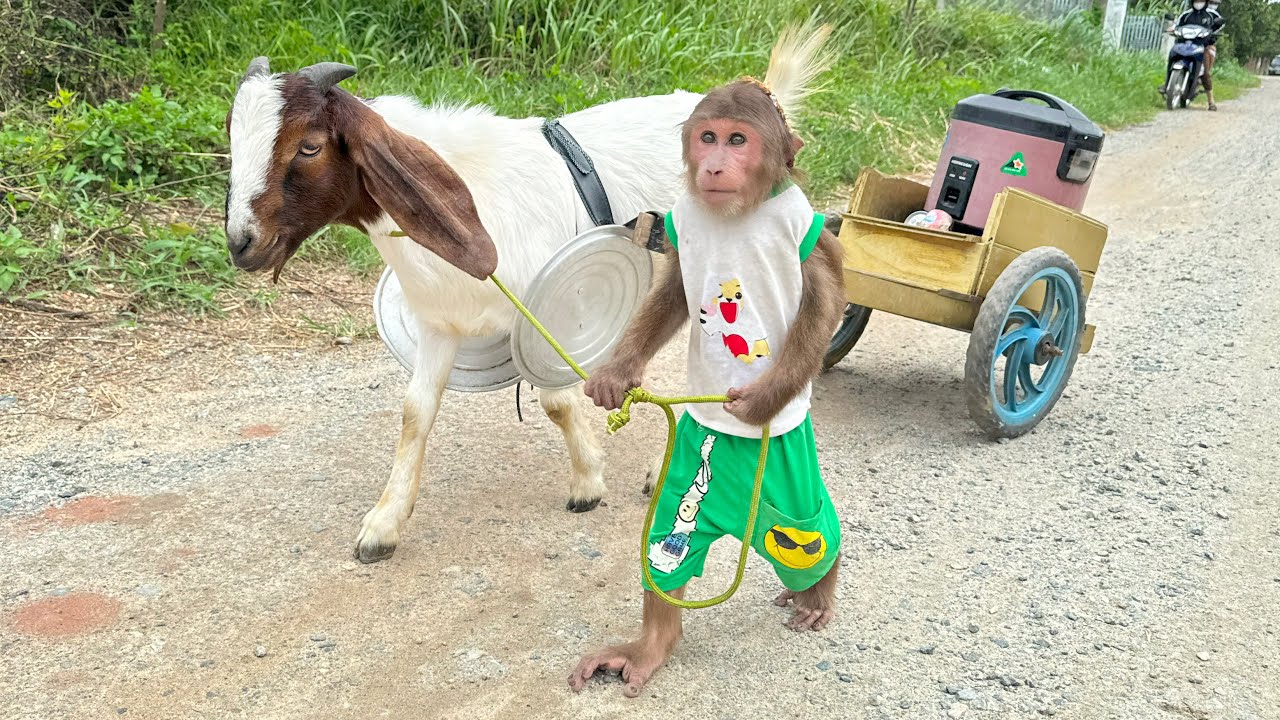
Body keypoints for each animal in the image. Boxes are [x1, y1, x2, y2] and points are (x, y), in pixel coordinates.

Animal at [223, 57, 701, 563]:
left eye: (309, 146)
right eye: (231, 137)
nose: (241, 243)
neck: (478, 194)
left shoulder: (547, 315)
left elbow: (556, 402)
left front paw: (587, 483)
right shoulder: (439, 323)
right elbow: (416, 412)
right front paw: (384, 524)